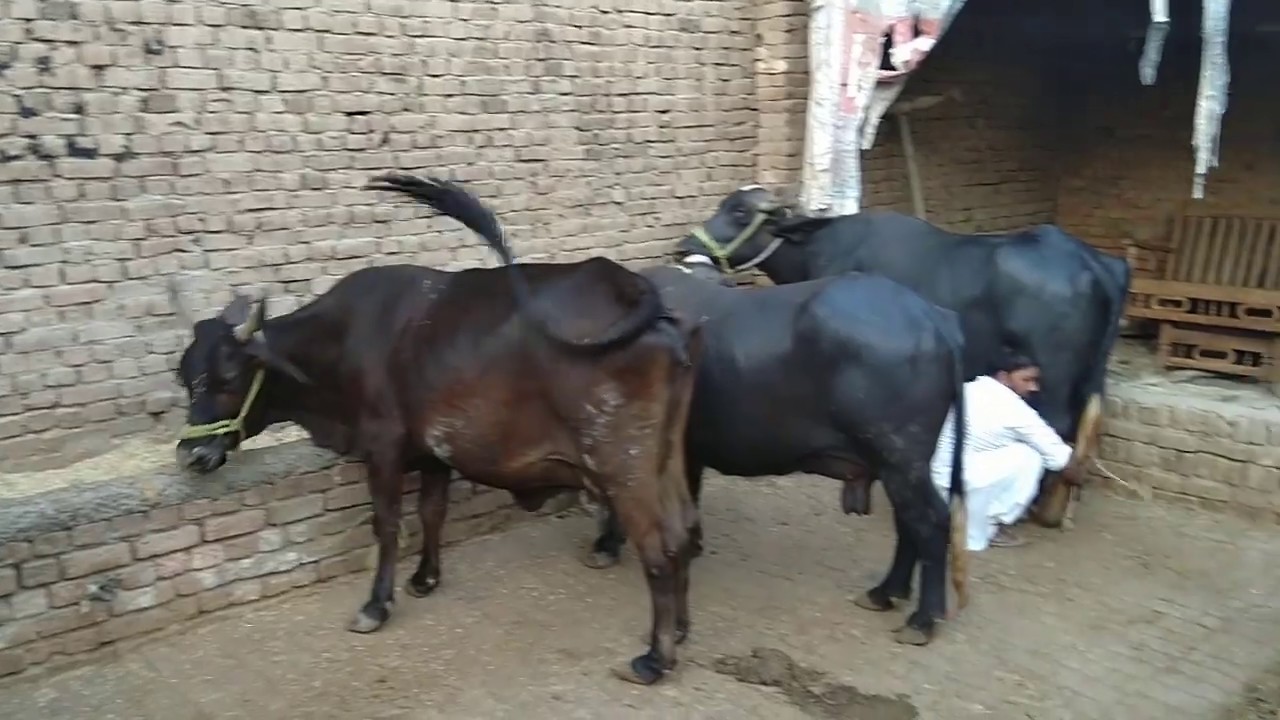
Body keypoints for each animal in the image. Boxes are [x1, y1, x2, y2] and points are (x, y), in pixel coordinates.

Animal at [168, 173, 703, 686]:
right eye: (185, 375)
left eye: (229, 377)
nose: (193, 455)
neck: (341, 342)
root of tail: (640, 297)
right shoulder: (432, 452)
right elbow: (431, 513)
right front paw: (425, 578)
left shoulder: (383, 447)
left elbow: (387, 525)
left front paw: (375, 605)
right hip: (667, 460)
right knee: (684, 532)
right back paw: (679, 629)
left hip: (624, 465)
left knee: (659, 546)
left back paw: (655, 657)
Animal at [587, 257, 971, 646]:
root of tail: (932, 318)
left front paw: (606, 545)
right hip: (900, 466)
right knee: (908, 522)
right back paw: (885, 593)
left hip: (899, 457)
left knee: (930, 522)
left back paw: (920, 620)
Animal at [675, 186, 1132, 527]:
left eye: (738, 211)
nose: (685, 245)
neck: (817, 249)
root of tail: (1094, 264)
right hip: (1090, 372)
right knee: (1086, 427)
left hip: (1052, 375)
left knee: (1057, 426)